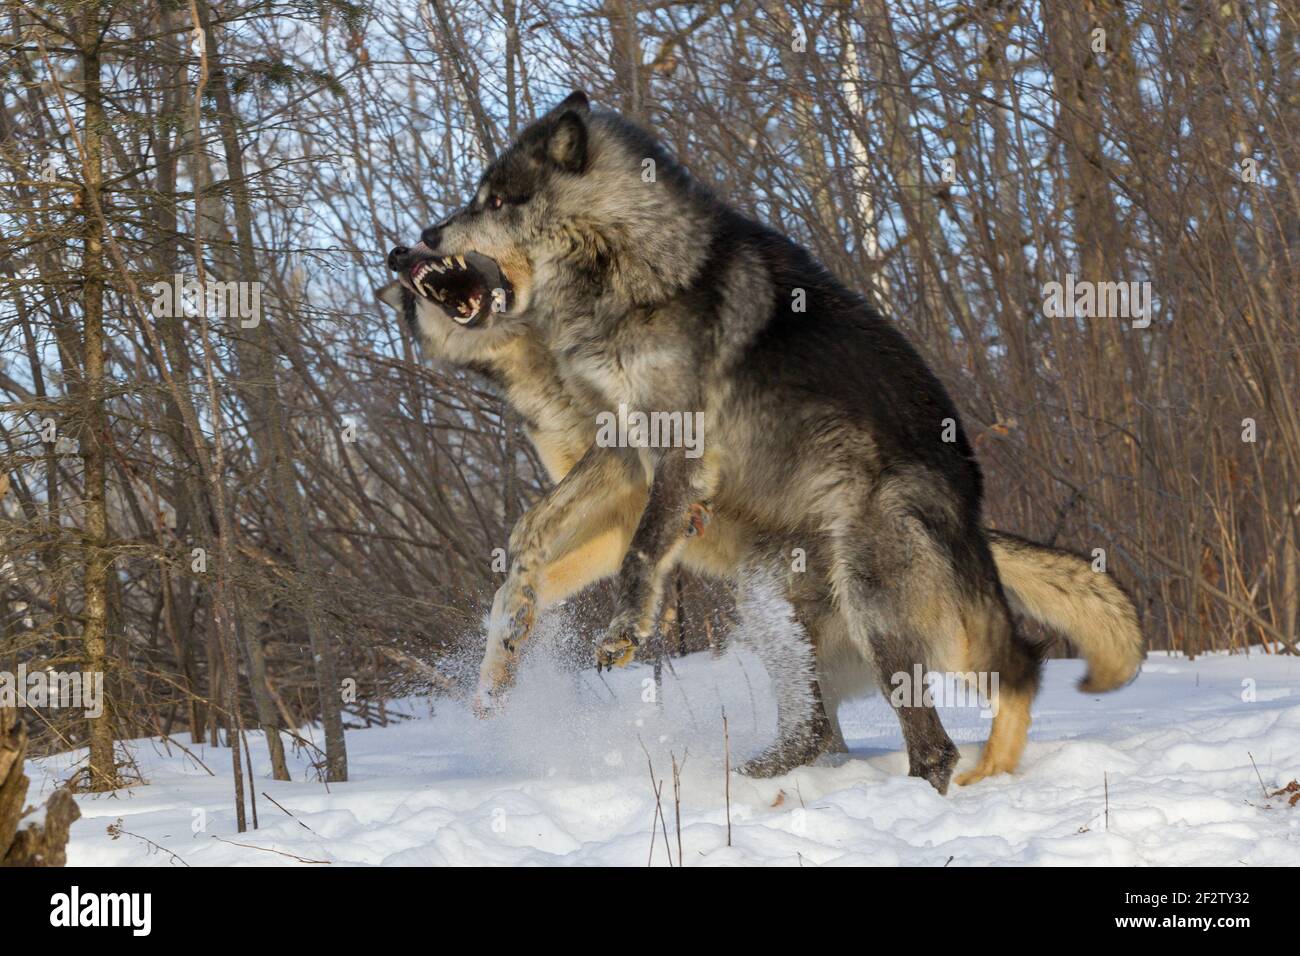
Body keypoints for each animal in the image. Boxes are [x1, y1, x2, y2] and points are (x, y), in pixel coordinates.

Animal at [381, 91, 1143, 790]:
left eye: (496, 199)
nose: (414, 239)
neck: (627, 271)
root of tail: (974, 518)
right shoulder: (623, 451)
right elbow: (530, 537)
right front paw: (510, 634)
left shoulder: (671, 451)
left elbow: (638, 555)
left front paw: (623, 630)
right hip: (784, 606)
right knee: (852, 718)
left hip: (877, 603)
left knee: (974, 706)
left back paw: (959, 782)